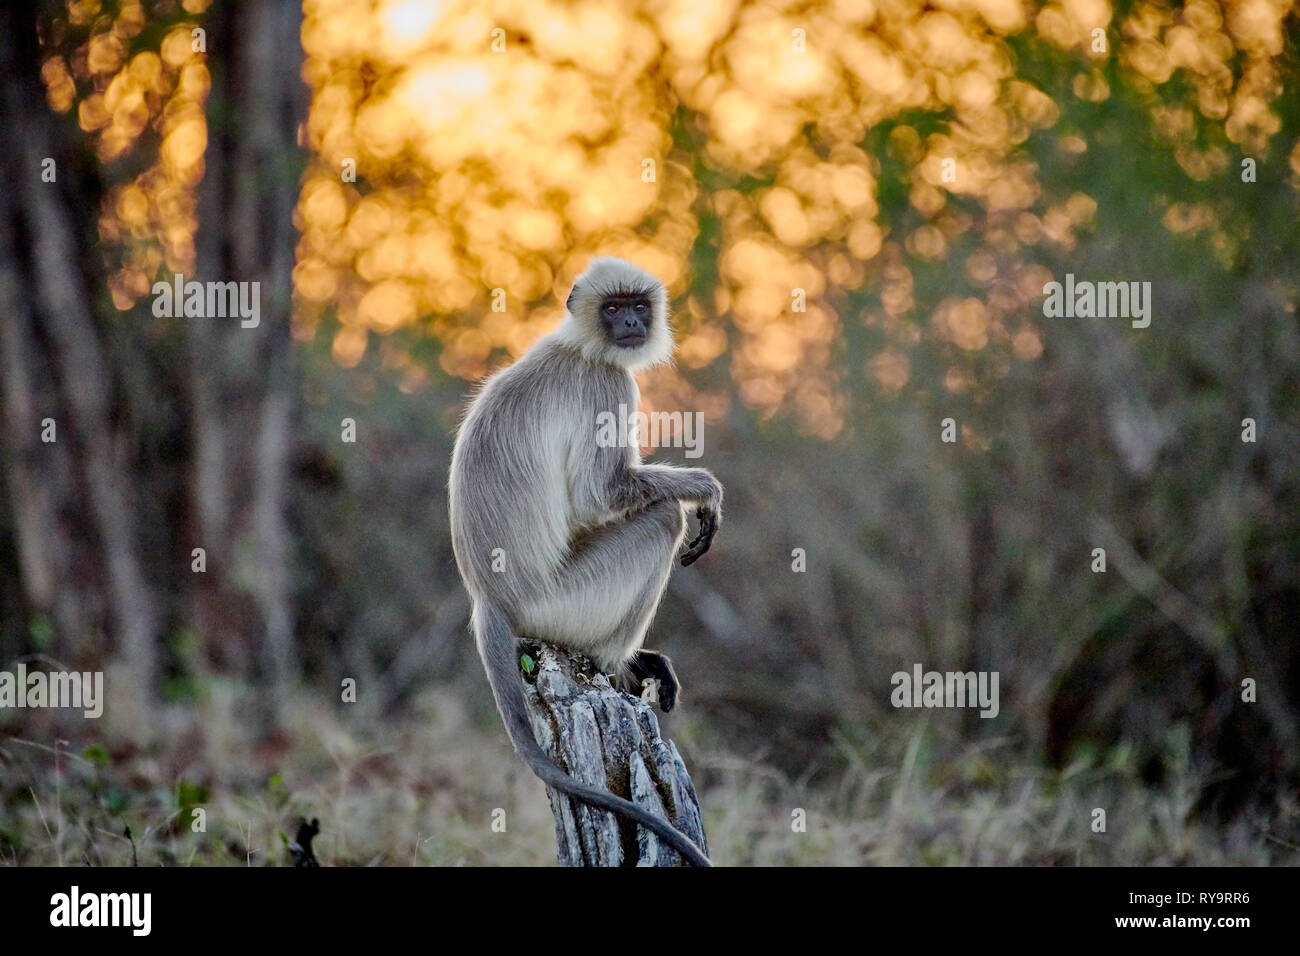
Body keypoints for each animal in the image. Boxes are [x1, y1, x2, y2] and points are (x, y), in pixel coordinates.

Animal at [448, 256, 722, 867]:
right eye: (613, 308)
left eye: (637, 306)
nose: (631, 325)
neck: (582, 348)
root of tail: (487, 599)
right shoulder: (608, 388)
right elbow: (604, 494)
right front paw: (704, 491)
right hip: (560, 603)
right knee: (661, 520)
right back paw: (614, 663)